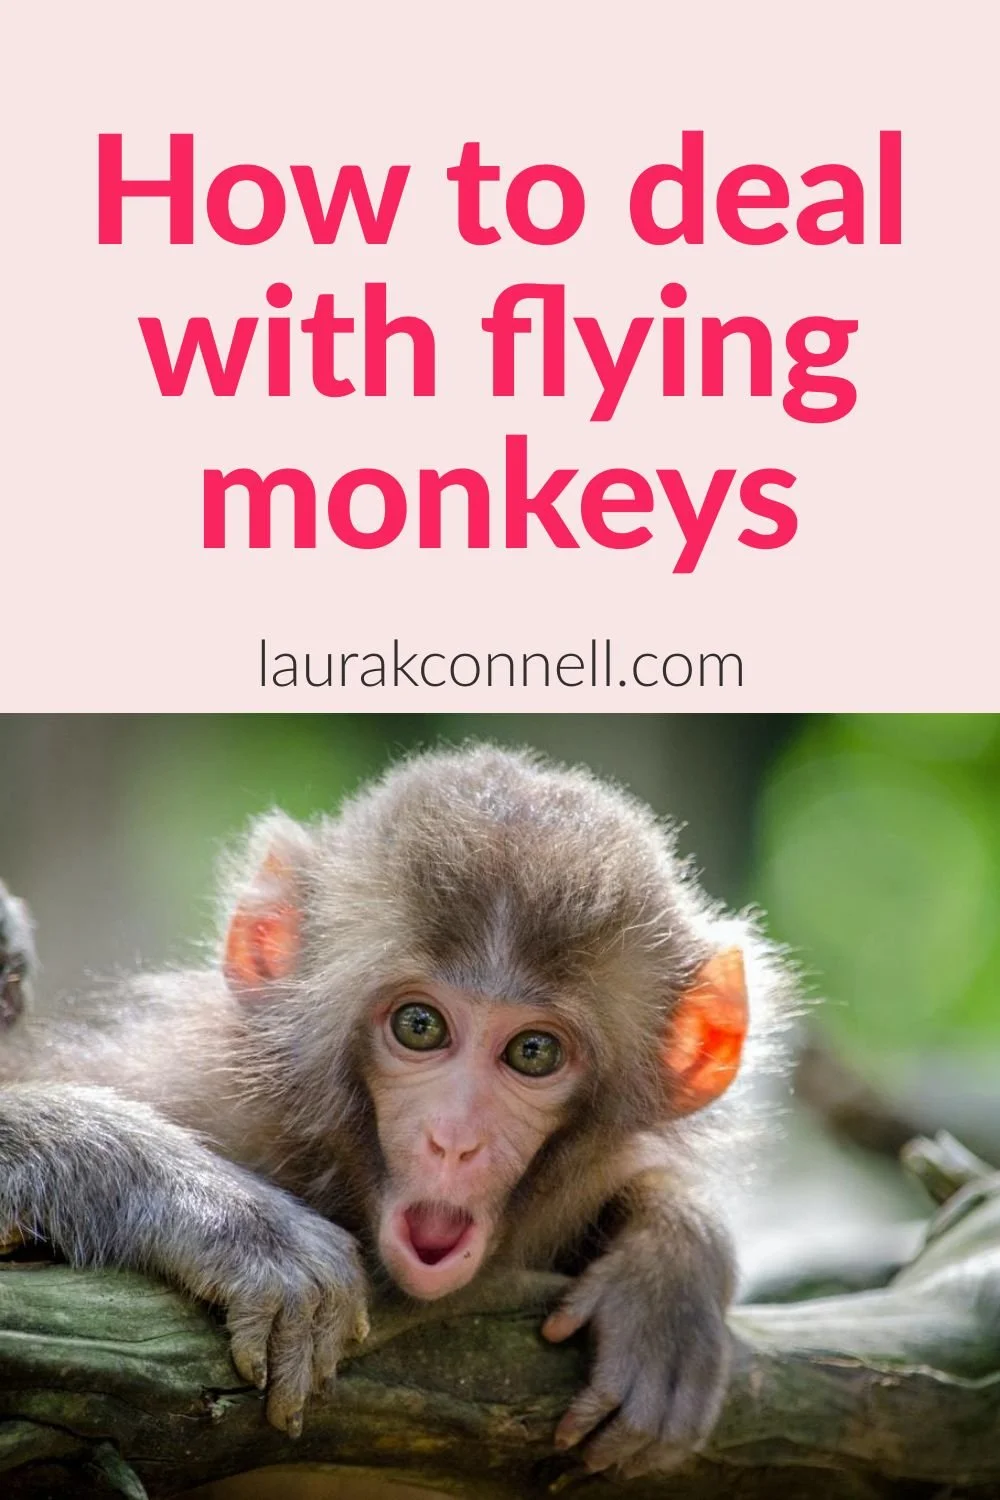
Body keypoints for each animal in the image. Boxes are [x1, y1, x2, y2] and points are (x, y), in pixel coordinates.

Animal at [0, 745, 792, 1478]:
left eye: (534, 1052)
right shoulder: (192, 1087)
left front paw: (670, 1273)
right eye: (420, 1026)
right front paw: (231, 1220)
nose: (455, 1139)